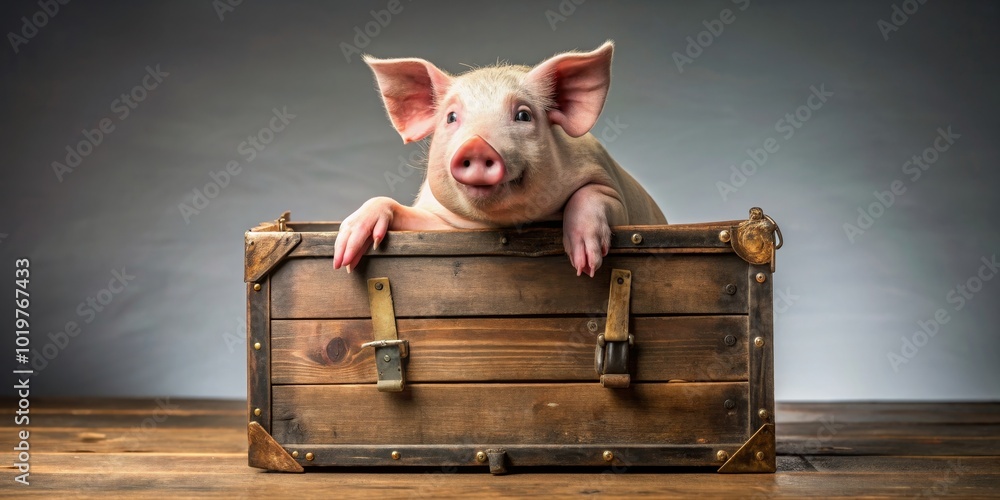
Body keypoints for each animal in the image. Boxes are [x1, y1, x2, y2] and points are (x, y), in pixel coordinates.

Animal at [333, 41, 666, 277]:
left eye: (523, 115)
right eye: (451, 117)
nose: (477, 146)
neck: (504, 223)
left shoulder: (614, 192)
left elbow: (592, 195)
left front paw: (586, 264)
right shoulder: (444, 223)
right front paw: (344, 256)